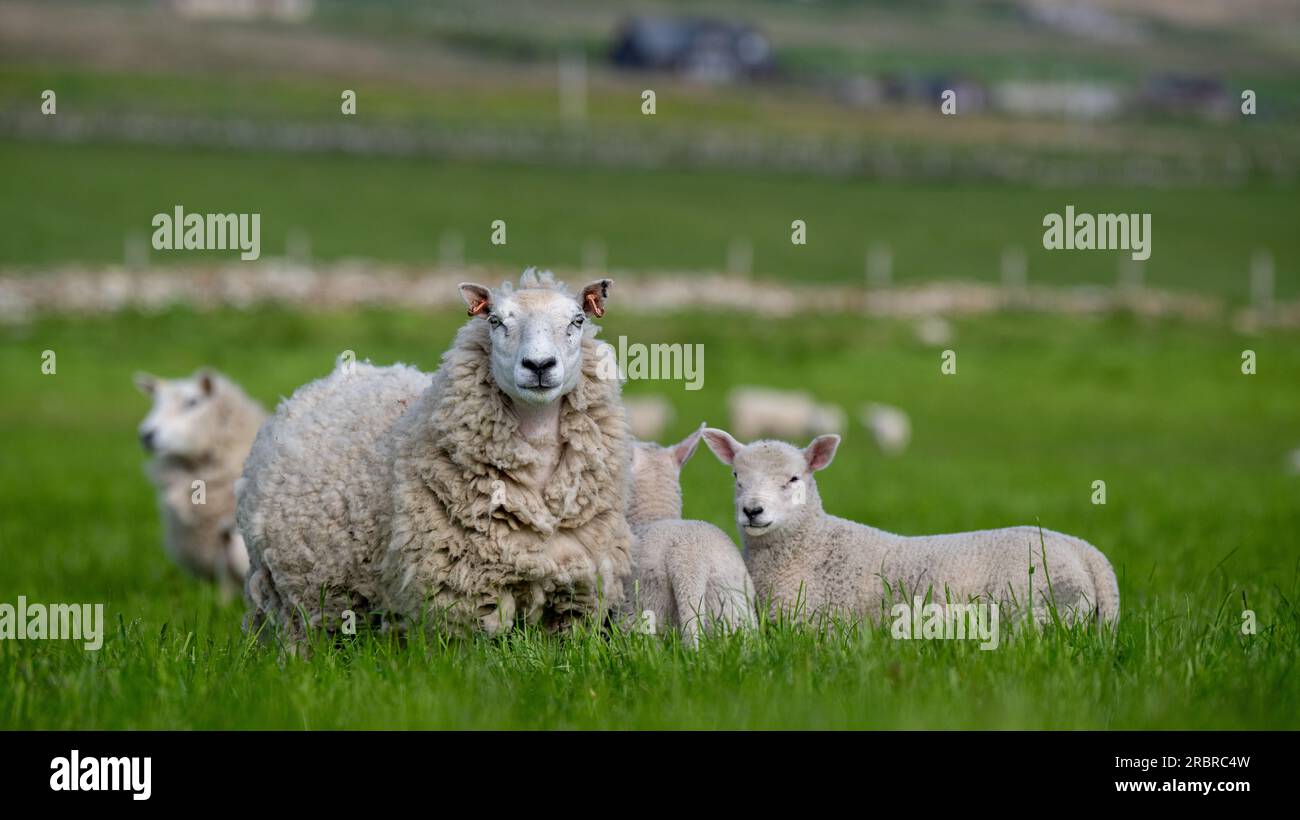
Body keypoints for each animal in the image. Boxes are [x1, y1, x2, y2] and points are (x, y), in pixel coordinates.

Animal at [236, 269, 634, 640]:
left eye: (577, 321)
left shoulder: (575, 599)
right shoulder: (463, 598)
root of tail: (327, 380)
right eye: (495, 321)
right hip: (295, 598)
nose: (539, 365)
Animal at [701, 428, 1119, 627]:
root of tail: (1086, 551)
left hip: (1046, 607)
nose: (752, 510)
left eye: (793, 479)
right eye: (736, 476)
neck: (811, 546)